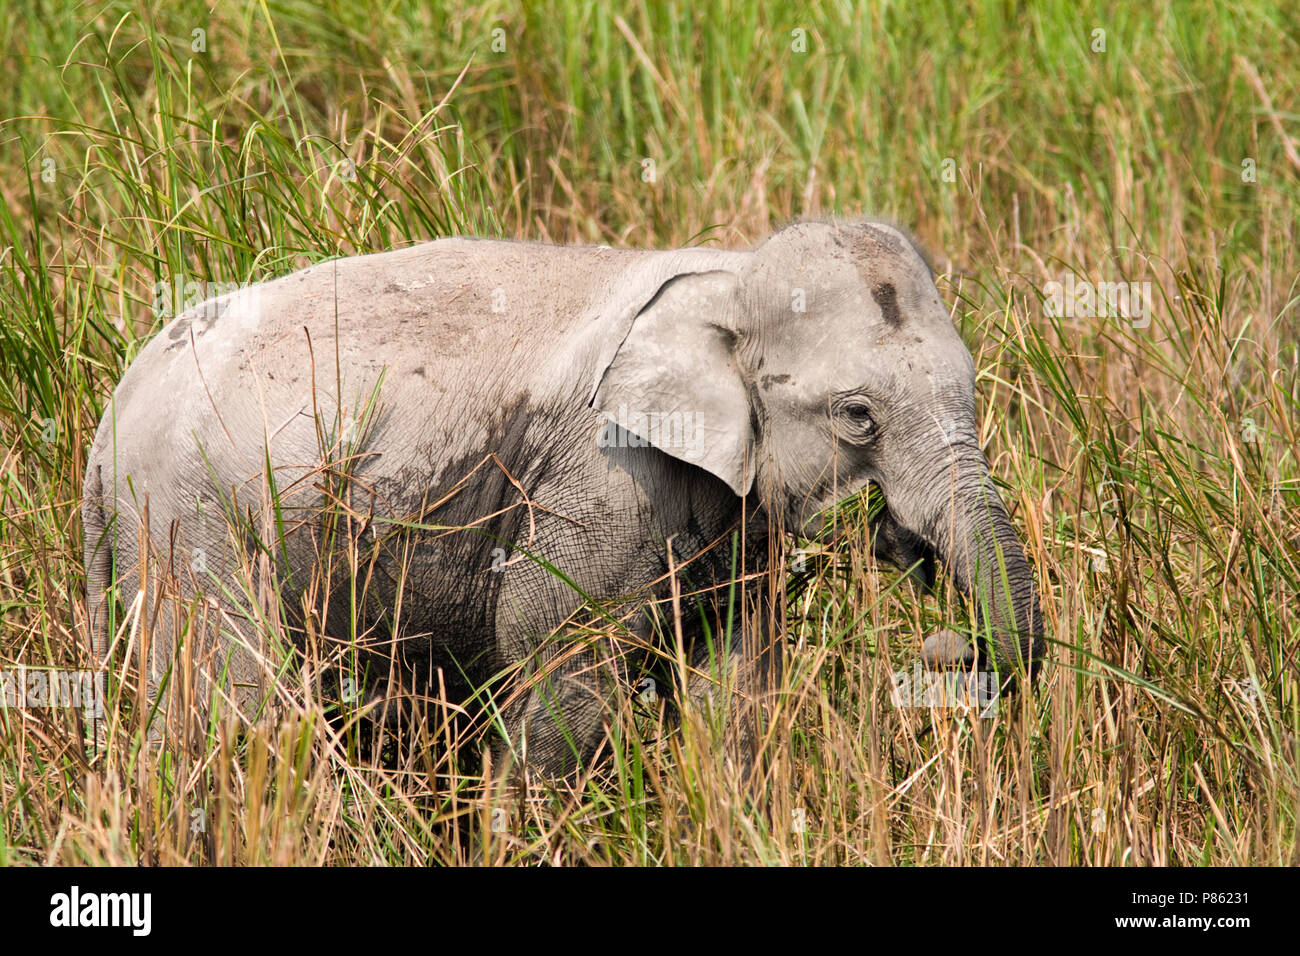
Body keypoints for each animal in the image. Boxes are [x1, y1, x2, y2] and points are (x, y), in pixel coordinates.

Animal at [82, 219, 1044, 777]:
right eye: (858, 416)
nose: (945, 640)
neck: (730, 270)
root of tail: (105, 427)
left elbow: (738, 686)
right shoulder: (604, 475)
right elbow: (554, 651)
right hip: (191, 520)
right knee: (228, 707)